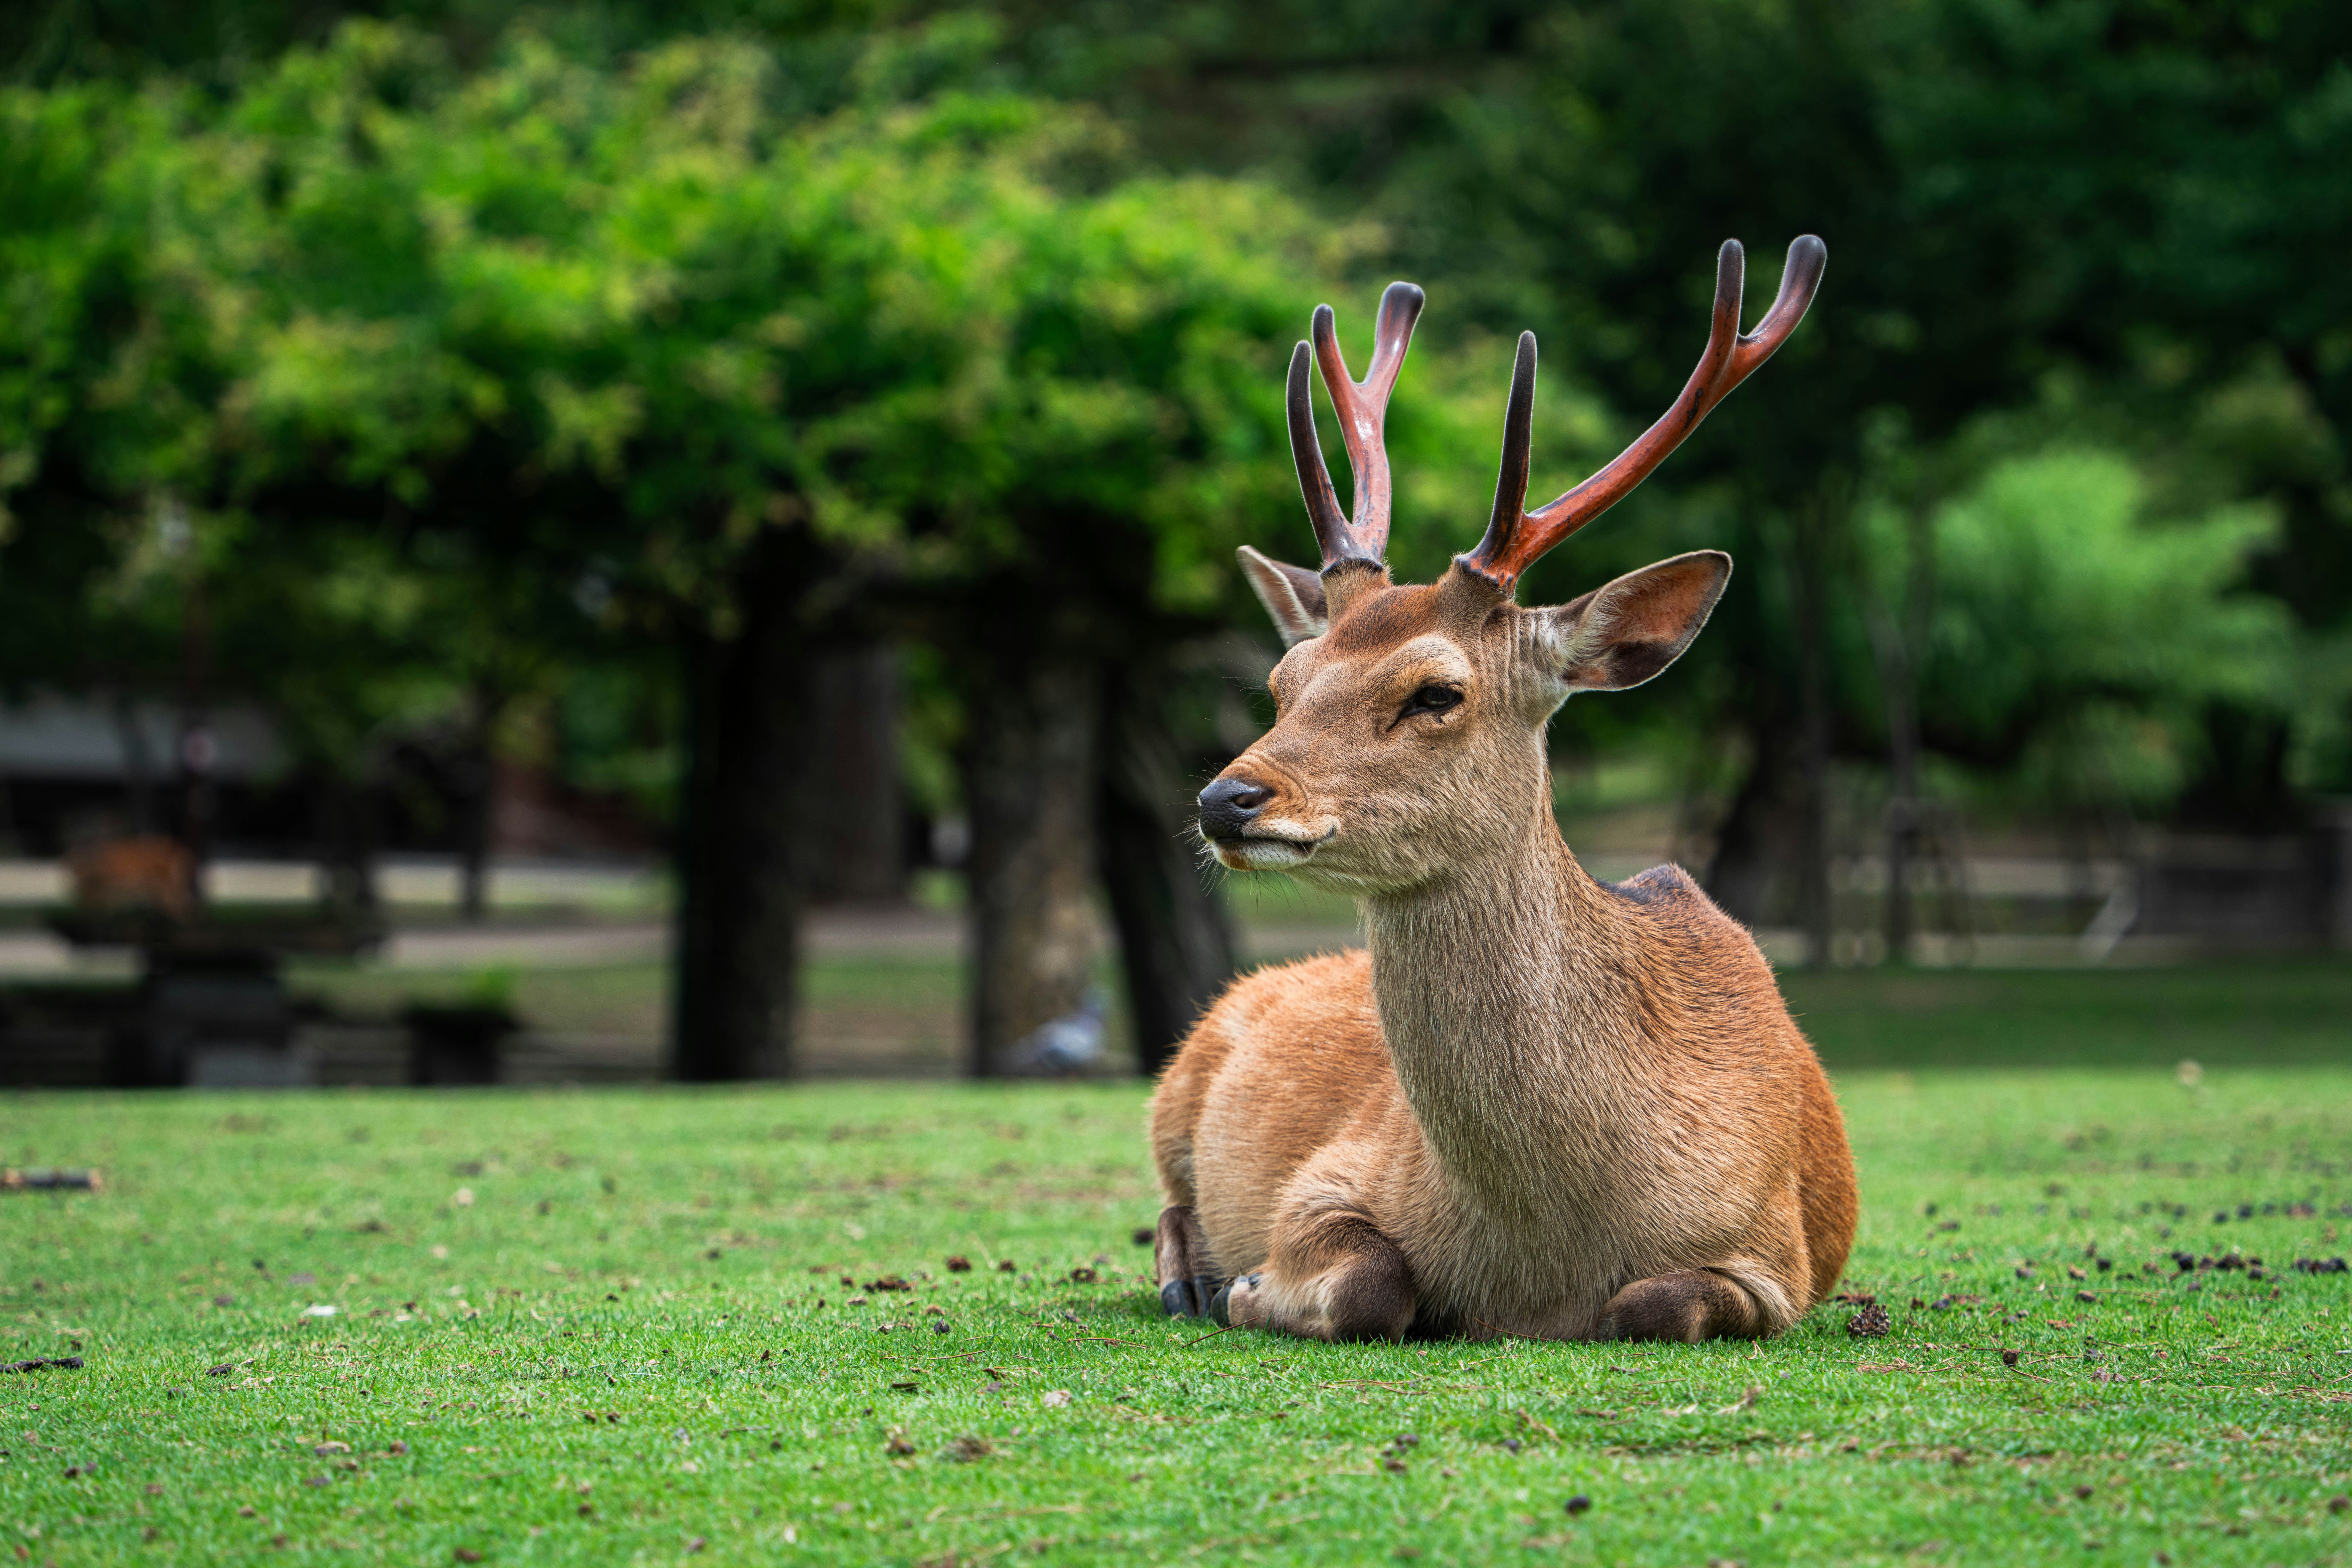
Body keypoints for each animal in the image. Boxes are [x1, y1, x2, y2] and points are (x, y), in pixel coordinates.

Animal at [1149, 237, 1857, 1344]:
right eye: (1282, 681)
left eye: (1435, 691)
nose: (1226, 799)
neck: (1537, 1261)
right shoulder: (1326, 1175)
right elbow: (1372, 1283)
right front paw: (1251, 1285)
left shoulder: (1773, 1256)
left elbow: (1655, 1301)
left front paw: (1250, 1289)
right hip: (1177, 1077)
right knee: (1167, 1200)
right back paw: (1190, 1277)